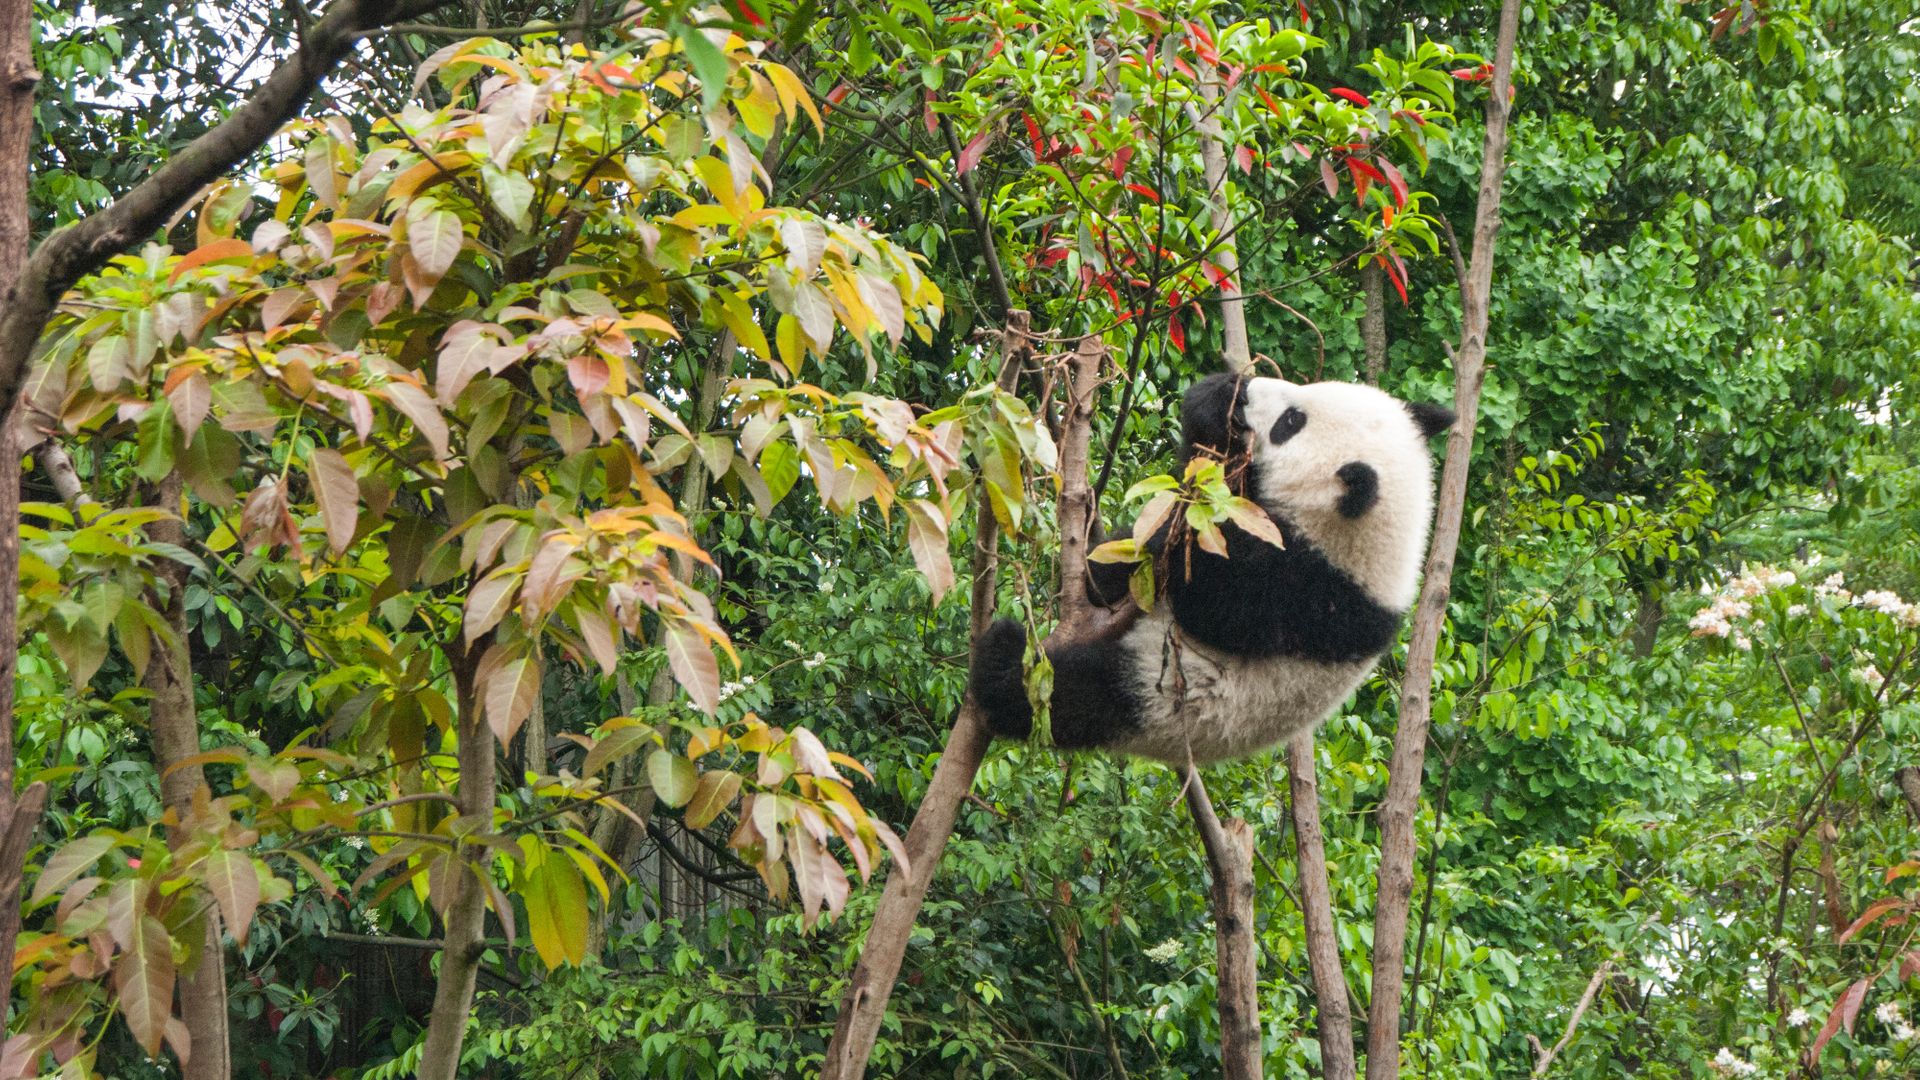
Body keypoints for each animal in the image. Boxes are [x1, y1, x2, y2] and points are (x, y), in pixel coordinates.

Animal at [968, 372, 1454, 764]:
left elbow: (1213, 601)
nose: (1250, 388)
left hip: (1160, 697)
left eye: (1291, 422)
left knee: (1071, 696)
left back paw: (1002, 660)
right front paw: (1215, 400)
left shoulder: (1313, 595)